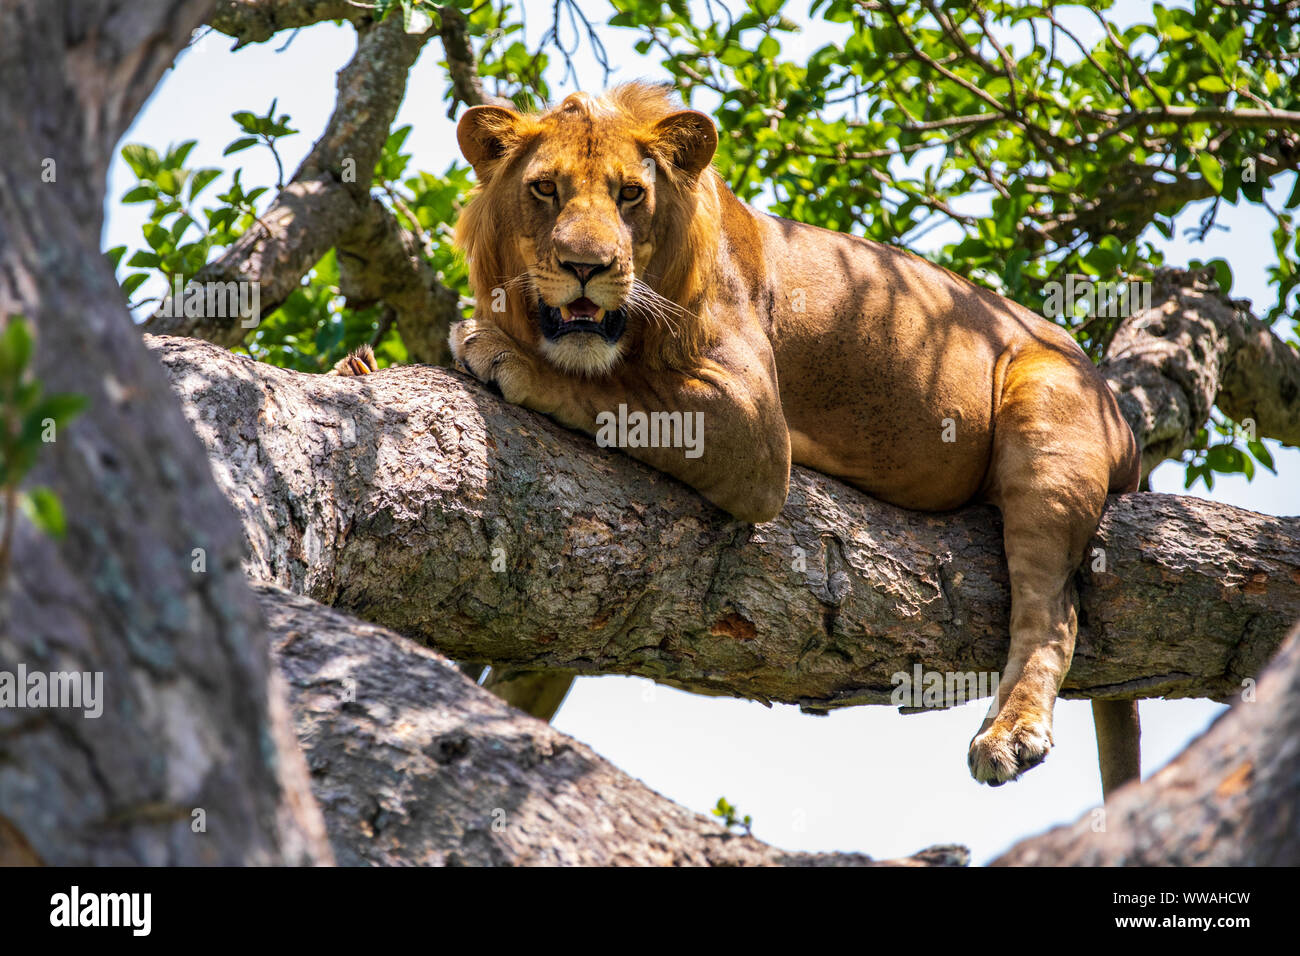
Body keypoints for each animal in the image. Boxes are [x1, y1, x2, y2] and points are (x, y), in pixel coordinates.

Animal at [338, 83, 1143, 796]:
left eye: (629, 195)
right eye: (544, 190)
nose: (585, 268)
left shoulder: (753, 421)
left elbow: (613, 389)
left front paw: (500, 354)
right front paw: (359, 365)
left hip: (1047, 411)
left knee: (1052, 610)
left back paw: (1010, 733)